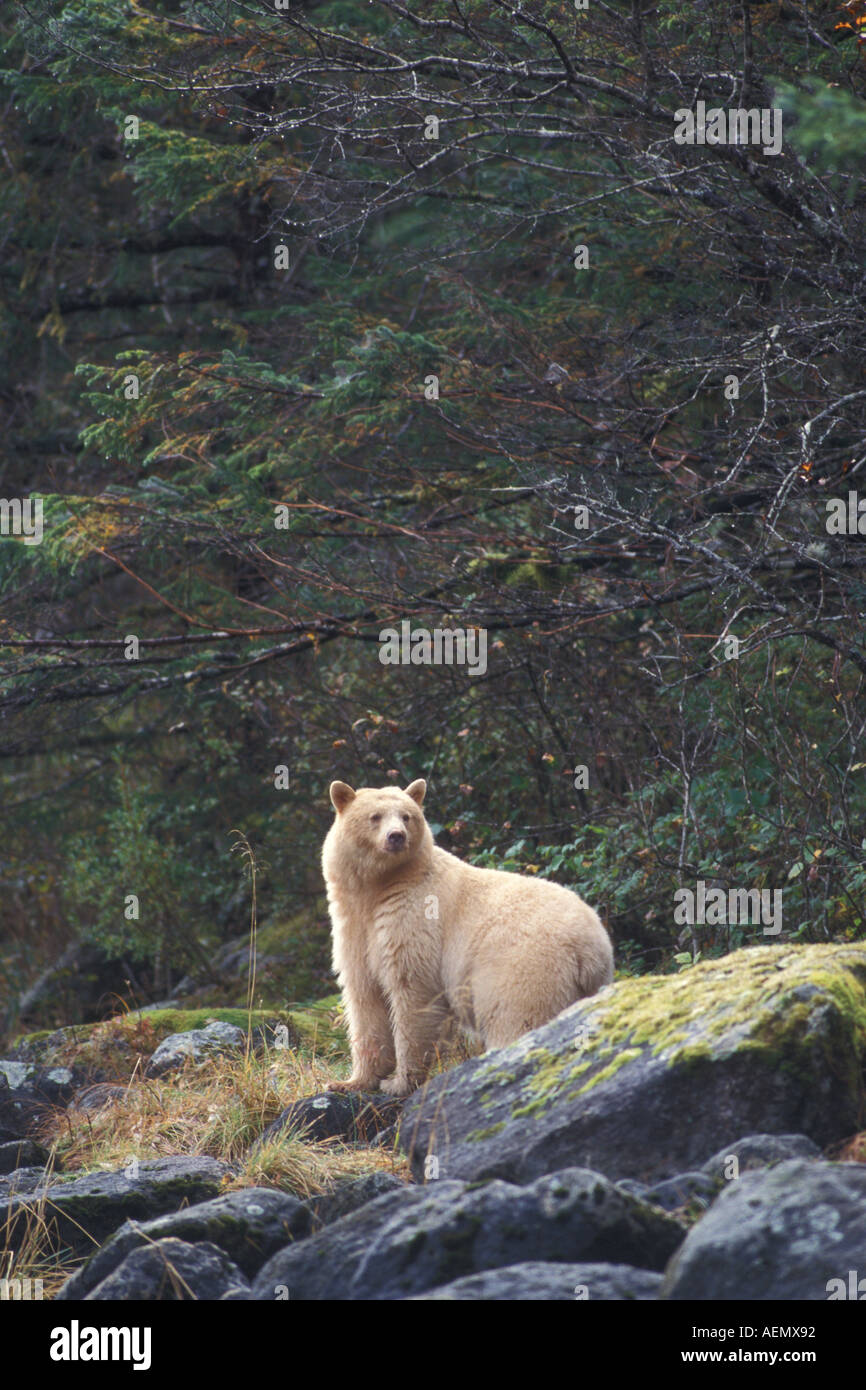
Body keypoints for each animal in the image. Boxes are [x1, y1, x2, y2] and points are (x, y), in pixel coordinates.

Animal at [321, 778, 613, 1096]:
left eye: (406, 816)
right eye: (375, 816)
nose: (396, 836)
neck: (380, 887)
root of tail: (592, 947)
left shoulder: (416, 918)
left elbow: (412, 992)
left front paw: (398, 1083)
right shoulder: (354, 926)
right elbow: (365, 997)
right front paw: (349, 1081)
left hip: (524, 969)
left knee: (518, 1020)